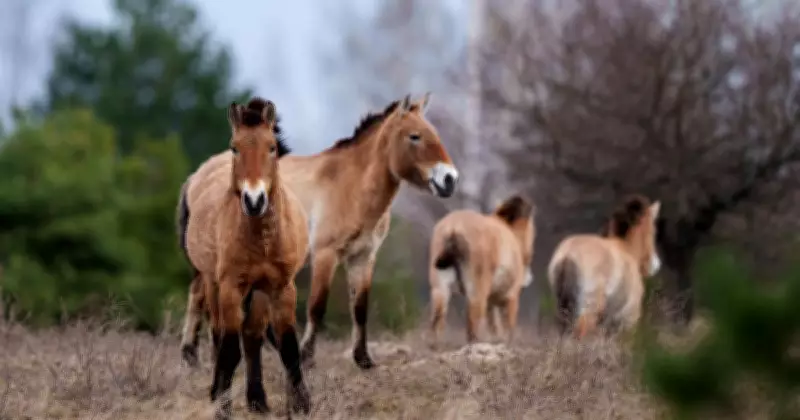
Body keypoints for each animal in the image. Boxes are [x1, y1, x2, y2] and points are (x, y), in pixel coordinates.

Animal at [178, 93, 459, 370]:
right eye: (415, 136)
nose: (450, 179)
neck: (351, 186)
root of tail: (197, 175)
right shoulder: (326, 254)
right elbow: (316, 306)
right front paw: (306, 356)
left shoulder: (363, 257)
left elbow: (360, 308)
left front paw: (363, 359)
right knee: (201, 296)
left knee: (200, 294)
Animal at [180, 98, 310, 419]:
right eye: (235, 147)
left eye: (272, 147)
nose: (254, 200)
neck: (261, 240)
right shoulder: (231, 287)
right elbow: (228, 348)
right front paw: (222, 407)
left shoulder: (281, 288)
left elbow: (287, 347)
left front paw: (301, 404)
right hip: (213, 284)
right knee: (218, 336)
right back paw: (218, 392)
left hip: (258, 292)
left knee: (252, 336)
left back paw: (257, 400)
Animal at [428, 194, 536, 345]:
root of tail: (454, 227)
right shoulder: (510, 296)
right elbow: (508, 327)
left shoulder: (492, 300)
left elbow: (494, 325)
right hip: (477, 291)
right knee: (472, 325)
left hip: (440, 288)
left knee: (437, 319)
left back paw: (434, 345)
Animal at [547, 194, 661, 339]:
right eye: (653, 231)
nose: (655, 265)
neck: (626, 249)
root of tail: (568, 256)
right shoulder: (628, 318)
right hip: (588, 311)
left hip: (563, 307)